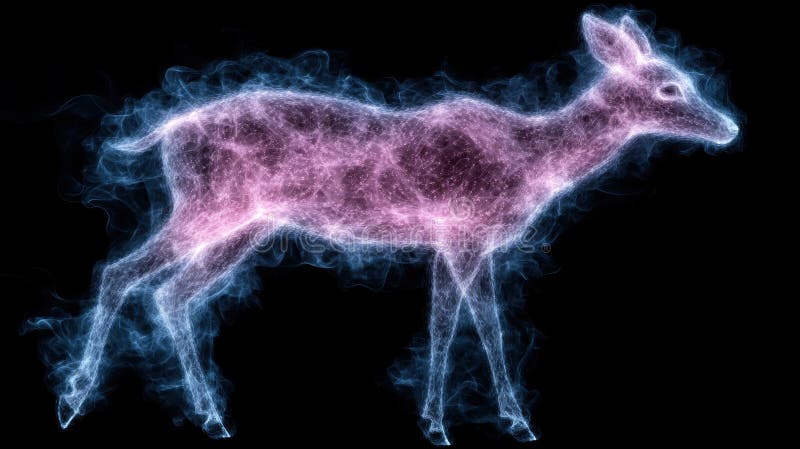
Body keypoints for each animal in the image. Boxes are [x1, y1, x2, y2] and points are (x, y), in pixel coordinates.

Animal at [52, 13, 738, 445]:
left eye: (690, 78)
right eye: (670, 86)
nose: (730, 128)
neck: (530, 161)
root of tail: (165, 132)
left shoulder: (448, 240)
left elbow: (441, 324)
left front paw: (436, 421)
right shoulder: (465, 229)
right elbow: (484, 325)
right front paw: (510, 422)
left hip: (246, 224)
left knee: (173, 293)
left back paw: (211, 416)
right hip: (208, 206)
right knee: (120, 272)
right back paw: (75, 398)